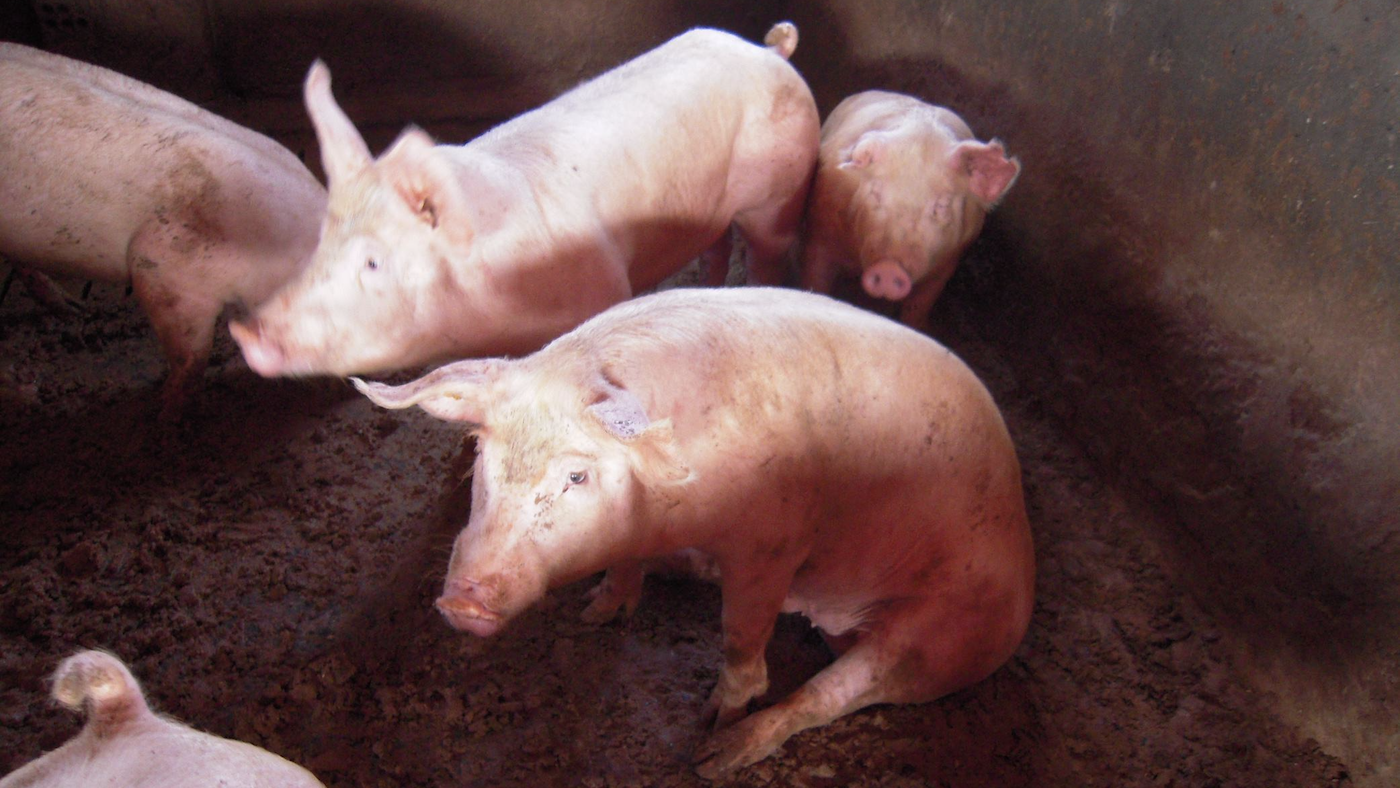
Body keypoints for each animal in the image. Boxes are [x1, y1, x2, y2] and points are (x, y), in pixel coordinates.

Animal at [230, 23, 820, 378]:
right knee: (715, 243)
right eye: (321, 242)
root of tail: (769, 50)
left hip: (781, 189)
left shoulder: (603, 284)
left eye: (373, 262)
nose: (245, 330)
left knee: (766, 249)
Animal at [352, 286, 1035, 778]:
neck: (664, 510)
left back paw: (723, 755)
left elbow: (741, 642)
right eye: (480, 455)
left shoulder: (773, 544)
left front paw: (708, 728)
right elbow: (626, 568)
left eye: (576, 475)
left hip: (934, 637)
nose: (461, 599)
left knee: (827, 695)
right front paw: (596, 613)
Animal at [801, 90, 1021, 327]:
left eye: (941, 205)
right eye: (875, 192)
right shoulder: (820, 233)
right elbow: (816, 280)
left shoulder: (947, 263)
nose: (889, 269)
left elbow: (918, 308)